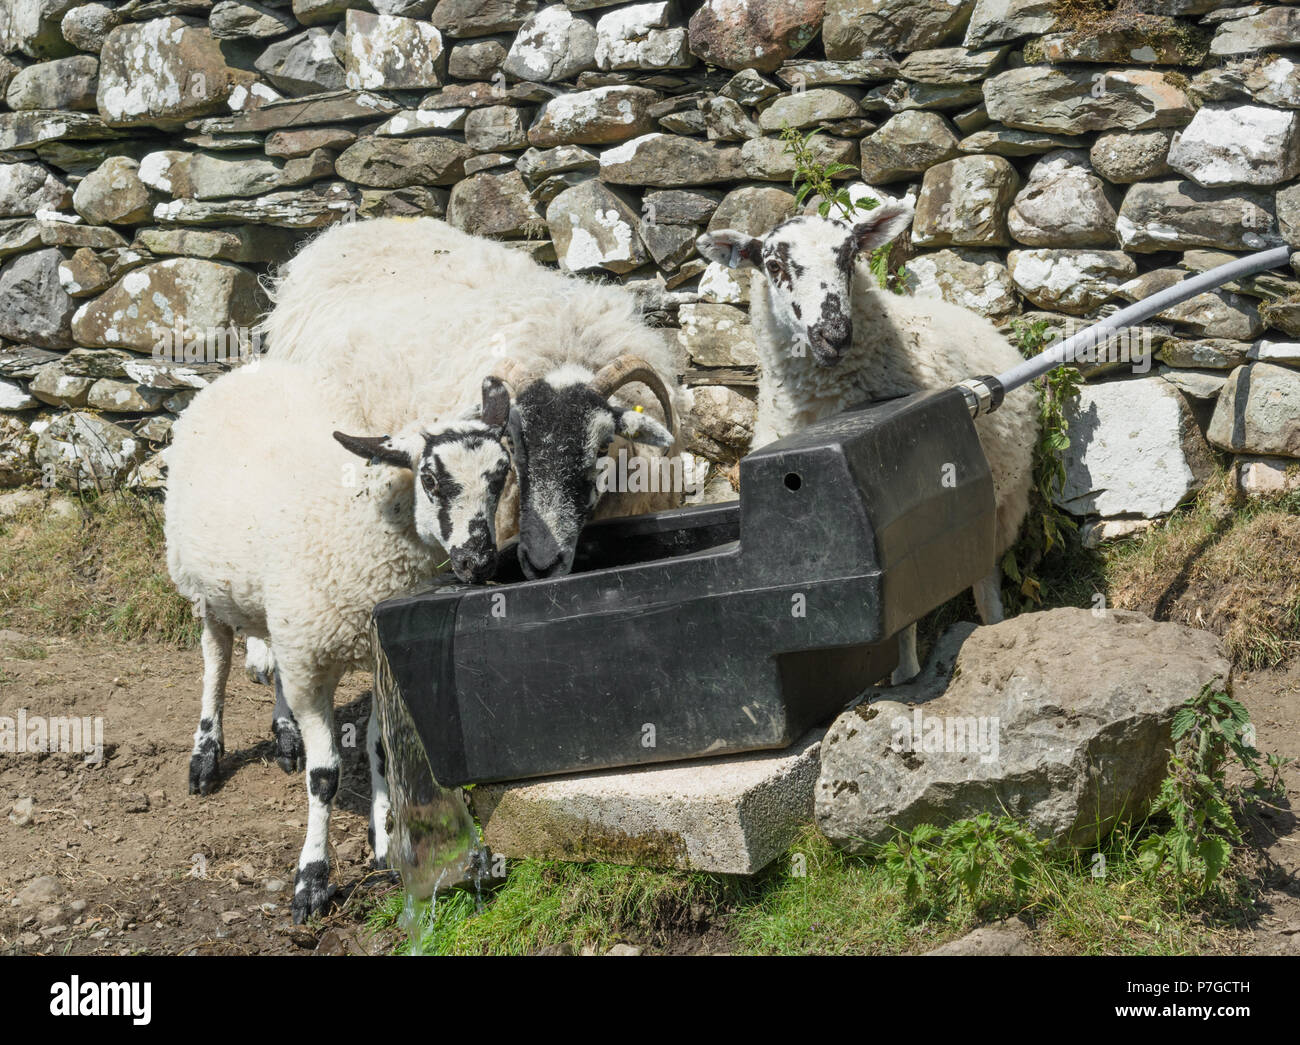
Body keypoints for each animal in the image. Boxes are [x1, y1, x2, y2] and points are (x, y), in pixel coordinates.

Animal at [164, 357, 513, 922]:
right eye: (430, 479)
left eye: (501, 475)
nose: (478, 563)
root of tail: (251, 366)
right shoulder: (311, 659)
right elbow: (326, 775)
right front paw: (311, 878)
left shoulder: (369, 652)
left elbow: (380, 752)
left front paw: (385, 848)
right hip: (204, 588)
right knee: (216, 660)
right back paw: (205, 755)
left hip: (281, 610)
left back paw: (286, 735)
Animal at [698, 204, 1038, 682]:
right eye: (774, 265)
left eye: (848, 255)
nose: (834, 334)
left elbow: (903, 618)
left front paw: (905, 676)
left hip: (1002, 498)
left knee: (985, 574)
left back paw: (993, 626)